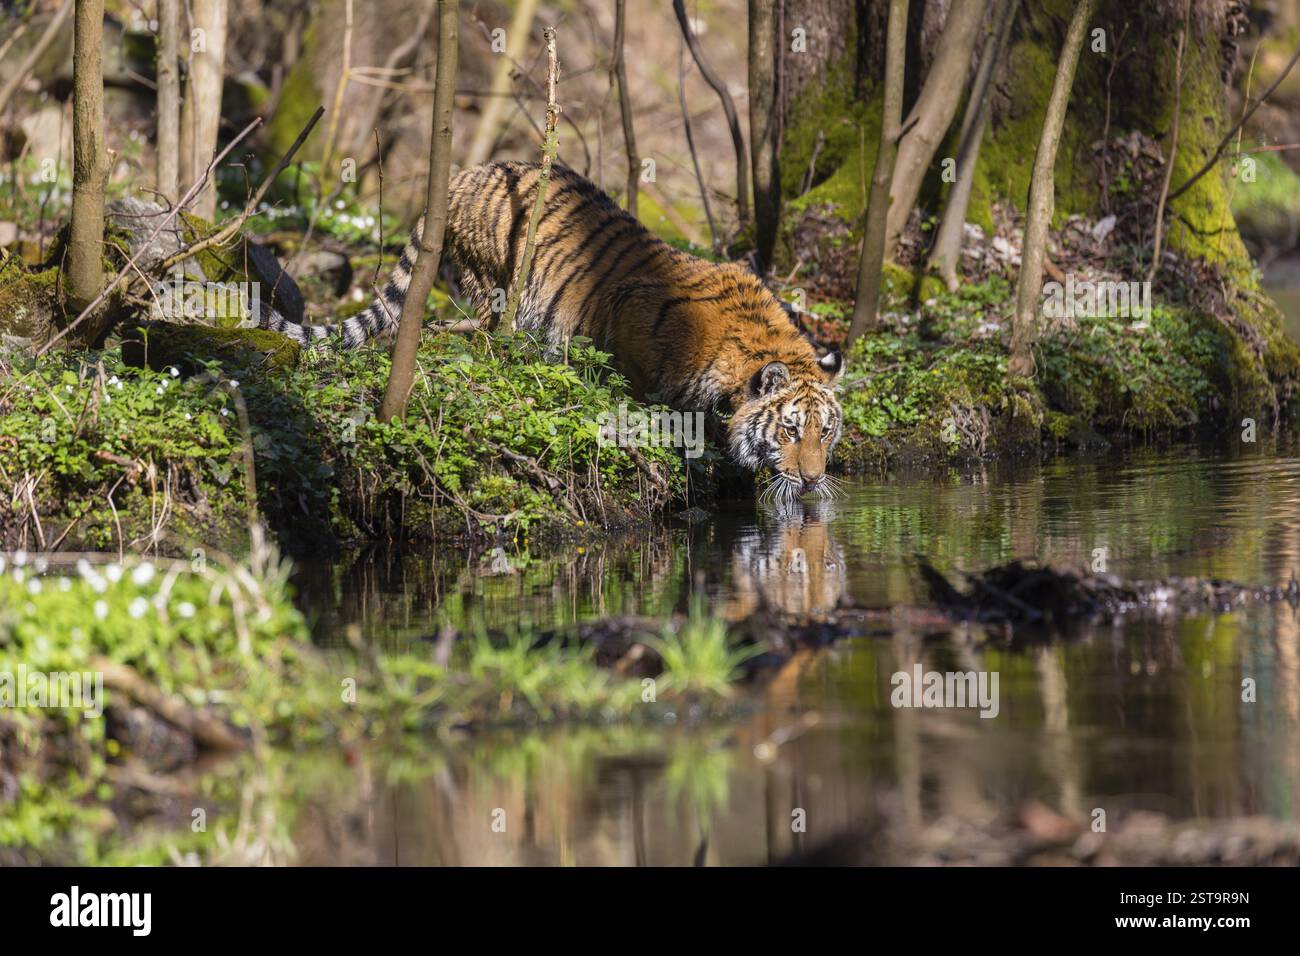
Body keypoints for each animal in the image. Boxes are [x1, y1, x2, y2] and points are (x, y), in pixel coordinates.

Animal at [258, 161, 845, 497]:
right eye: (791, 430)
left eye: (827, 431)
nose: (814, 480)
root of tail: (463, 174)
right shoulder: (632, 343)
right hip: (496, 284)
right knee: (488, 338)